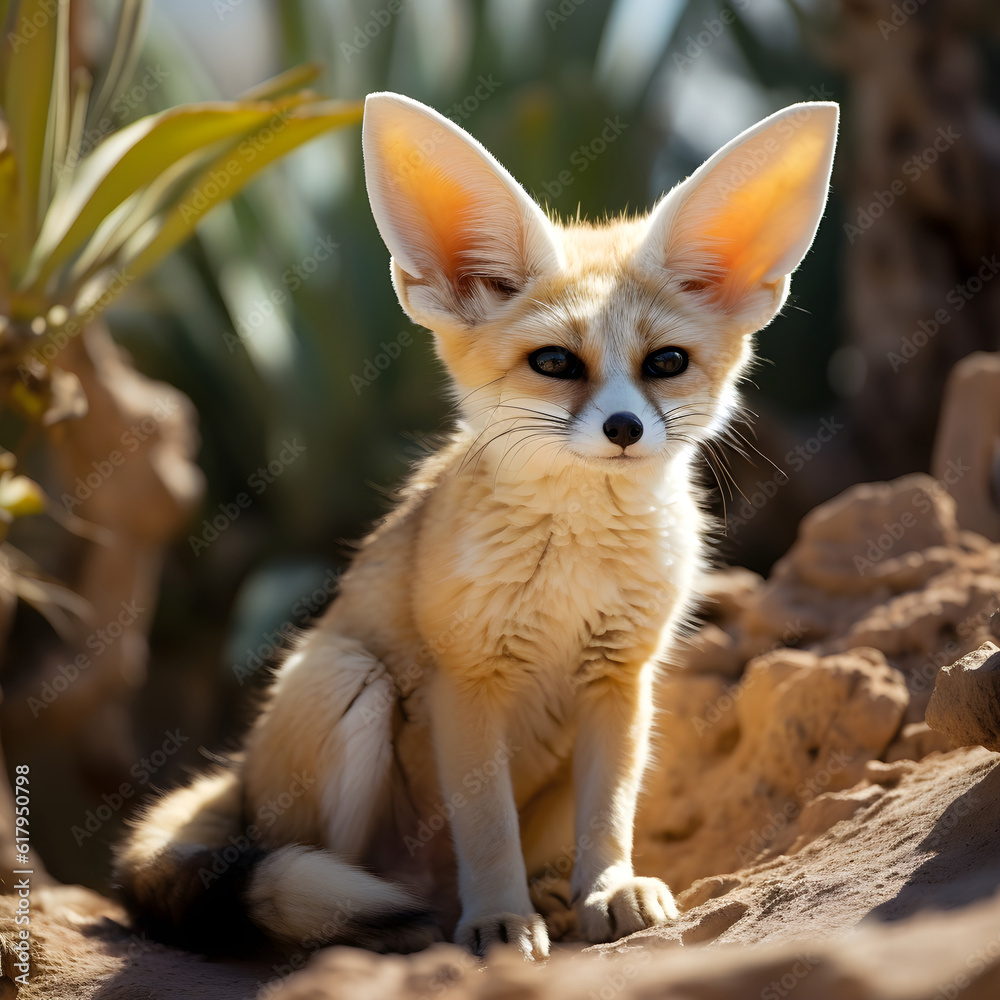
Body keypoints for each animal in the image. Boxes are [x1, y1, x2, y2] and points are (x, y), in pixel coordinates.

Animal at [114, 92, 838, 961]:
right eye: (555, 363)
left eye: (665, 363)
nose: (625, 428)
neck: (573, 565)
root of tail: (241, 773)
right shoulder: (469, 683)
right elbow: (488, 828)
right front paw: (499, 918)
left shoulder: (621, 679)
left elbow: (609, 816)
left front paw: (609, 890)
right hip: (345, 680)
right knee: (340, 877)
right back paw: (409, 926)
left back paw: (552, 898)